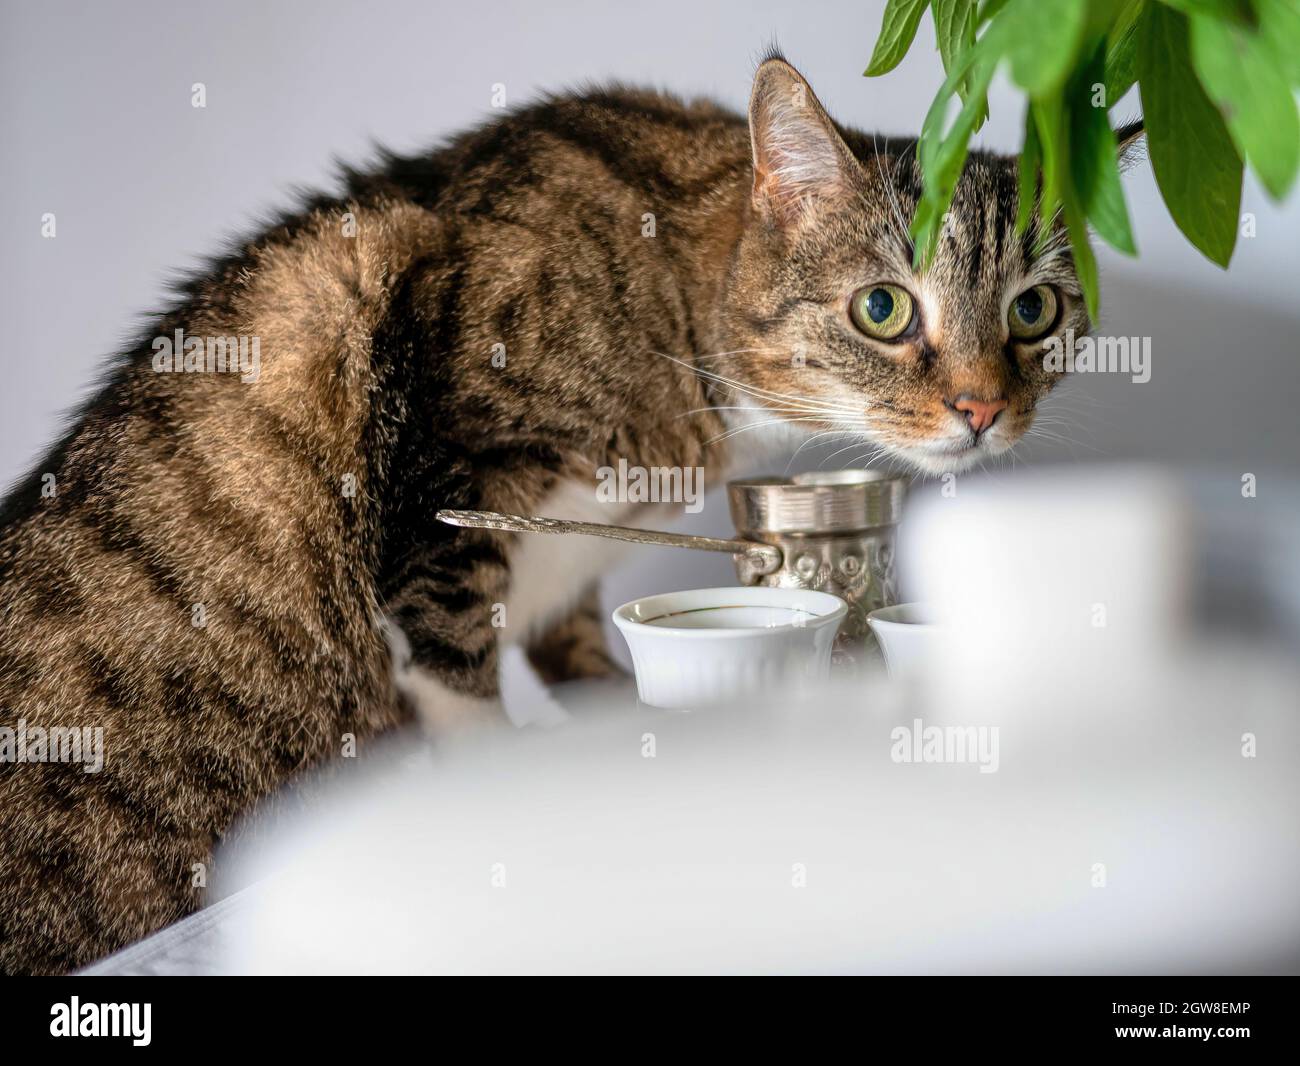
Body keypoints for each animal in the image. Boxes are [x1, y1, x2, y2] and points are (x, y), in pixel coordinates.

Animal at [0, 56, 1138, 972]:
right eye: (883, 308)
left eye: (1034, 310)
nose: (982, 409)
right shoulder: (441, 460)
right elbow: (451, 656)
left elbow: (578, 649)